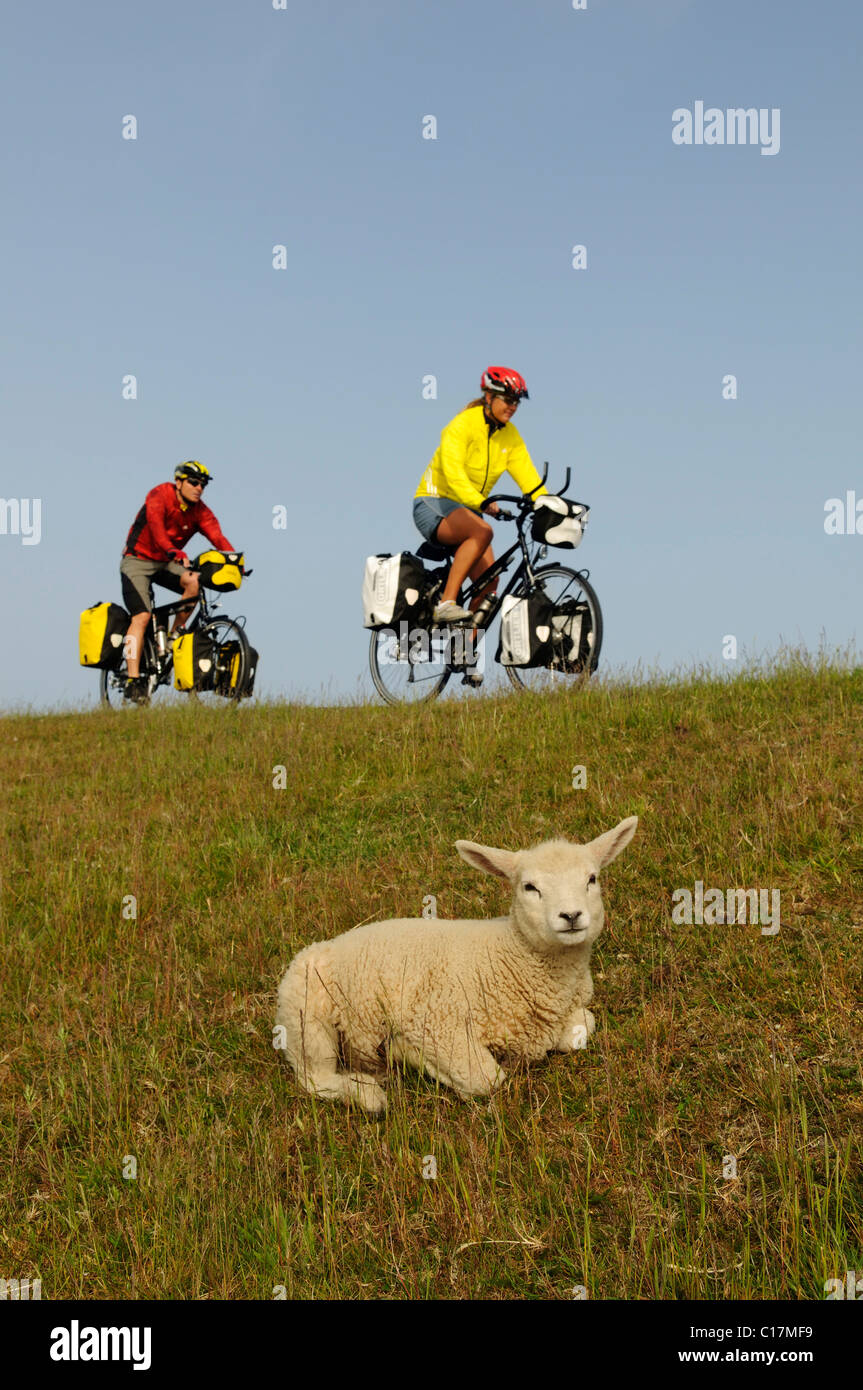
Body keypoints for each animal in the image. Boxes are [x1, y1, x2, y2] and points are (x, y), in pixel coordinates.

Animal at [274, 815, 638, 1114]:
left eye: (592, 879)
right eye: (529, 887)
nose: (571, 915)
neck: (512, 955)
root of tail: (323, 946)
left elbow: (583, 1027)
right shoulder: (438, 1025)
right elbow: (486, 1078)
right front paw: (406, 1054)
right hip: (306, 1019)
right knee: (314, 1077)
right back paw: (368, 1094)